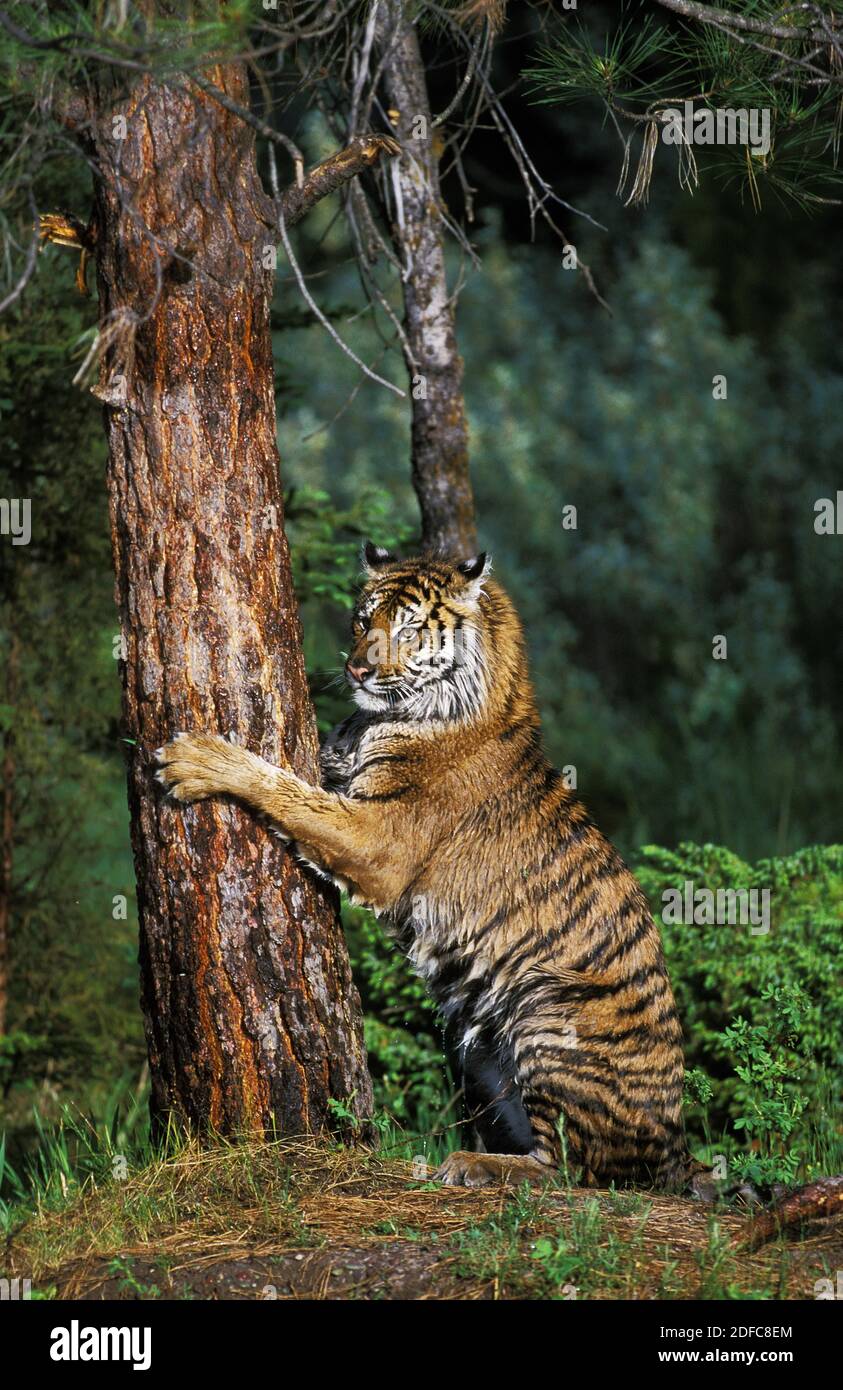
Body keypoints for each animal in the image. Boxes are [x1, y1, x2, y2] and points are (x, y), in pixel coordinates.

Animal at [157, 544, 707, 1193]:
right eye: (361, 620)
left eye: (409, 629)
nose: (357, 672)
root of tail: (680, 1145)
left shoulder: (379, 842)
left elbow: (286, 790)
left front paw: (197, 758)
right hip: (482, 1054)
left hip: (546, 1009)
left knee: (570, 1172)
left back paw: (469, 1164)